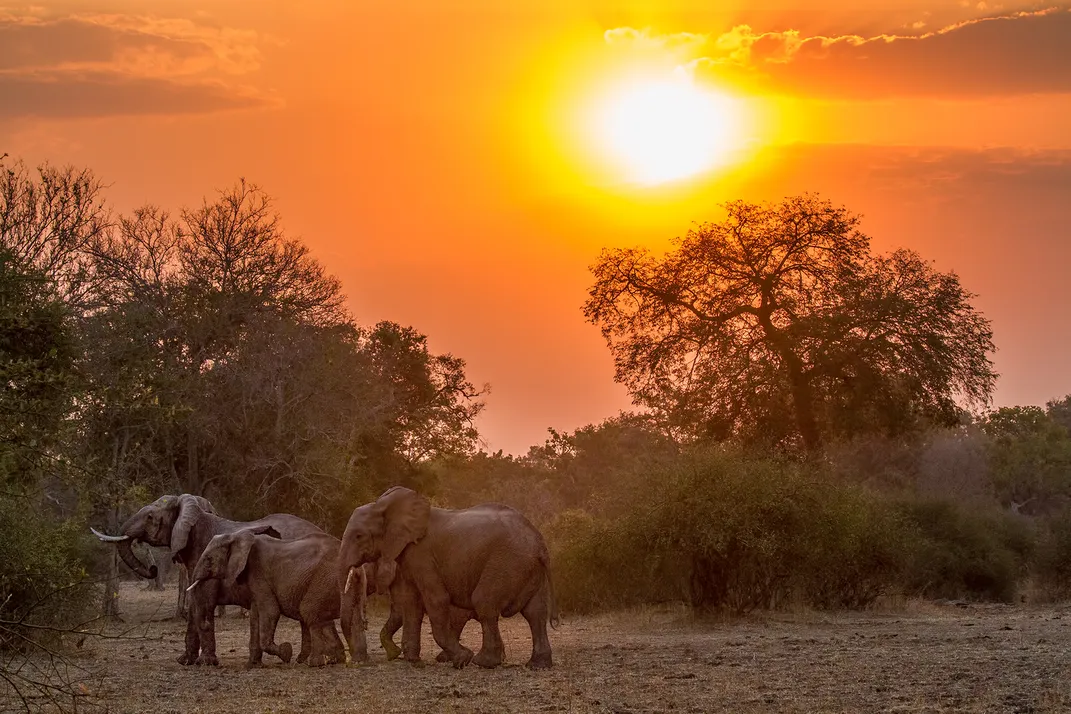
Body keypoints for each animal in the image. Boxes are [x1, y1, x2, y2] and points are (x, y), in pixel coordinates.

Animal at [91, 493, 323, 665]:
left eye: (149, 516)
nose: (153, 568)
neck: (192, 512)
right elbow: (194, 605)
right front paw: (184, 661)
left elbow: (202, 603)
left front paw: (206, 663)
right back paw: (301, 659)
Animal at [189, 527, 368, 667]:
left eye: (208, 559)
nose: (207, 623)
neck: (237, 535)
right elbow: (255, 615)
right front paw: (253, 665)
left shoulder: (259, 573)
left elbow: (270, 612)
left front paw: (286, 652)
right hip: (351, 585)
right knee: (349, 618)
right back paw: (353, 660)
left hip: (325, 579)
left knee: (309, 613)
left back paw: (315, 663)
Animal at [338, 486, 558, 669]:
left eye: (358, 536)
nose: (365, 622)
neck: (383, 506)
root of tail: (541, 544)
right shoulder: (406, 558)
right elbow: (409, 602)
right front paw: (412, 660)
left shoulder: (422, 554)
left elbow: (436, 600)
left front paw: (463, 659)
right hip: (528, 567)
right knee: (535, 612)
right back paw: (537, 665)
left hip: (507, 562)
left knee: (485, 604)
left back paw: (483, 662)